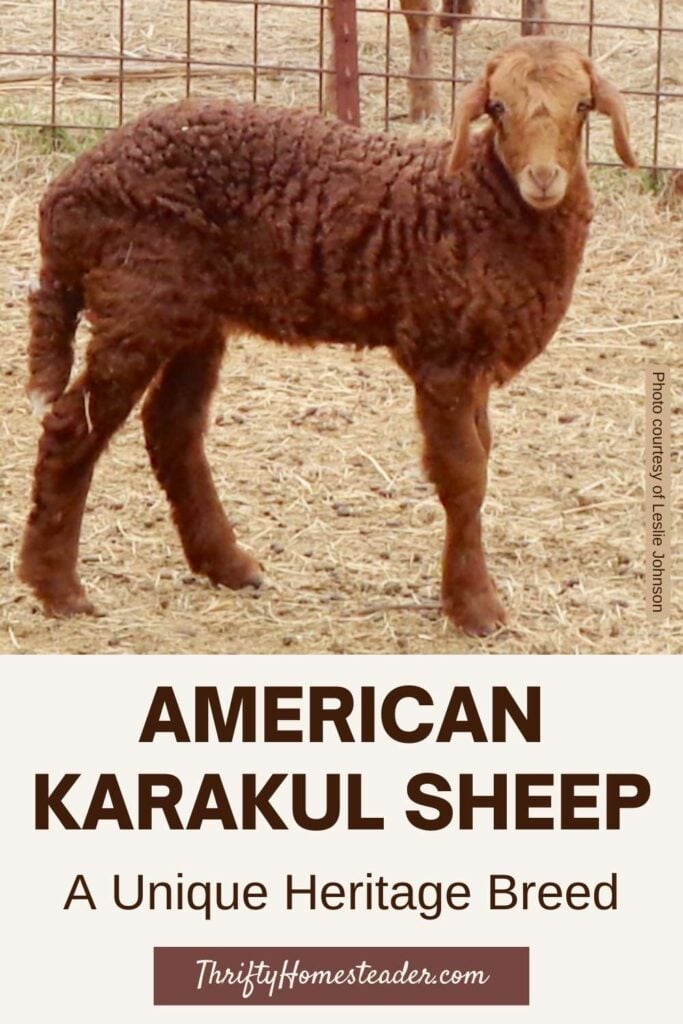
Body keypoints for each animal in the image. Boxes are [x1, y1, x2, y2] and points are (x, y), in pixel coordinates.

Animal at [19, 37, 636, 636]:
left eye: (583, 107)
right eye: (498, 107)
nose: (543, 179)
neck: (473, 205)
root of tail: (62, 200)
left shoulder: (472, 357)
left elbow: (480, 460)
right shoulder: (442, 354)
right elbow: (464, 477)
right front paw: (475, 609)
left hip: (192, 314)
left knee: (172, 427)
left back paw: (227, 564)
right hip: (136, 300)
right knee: (73, 425)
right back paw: (58, 588)